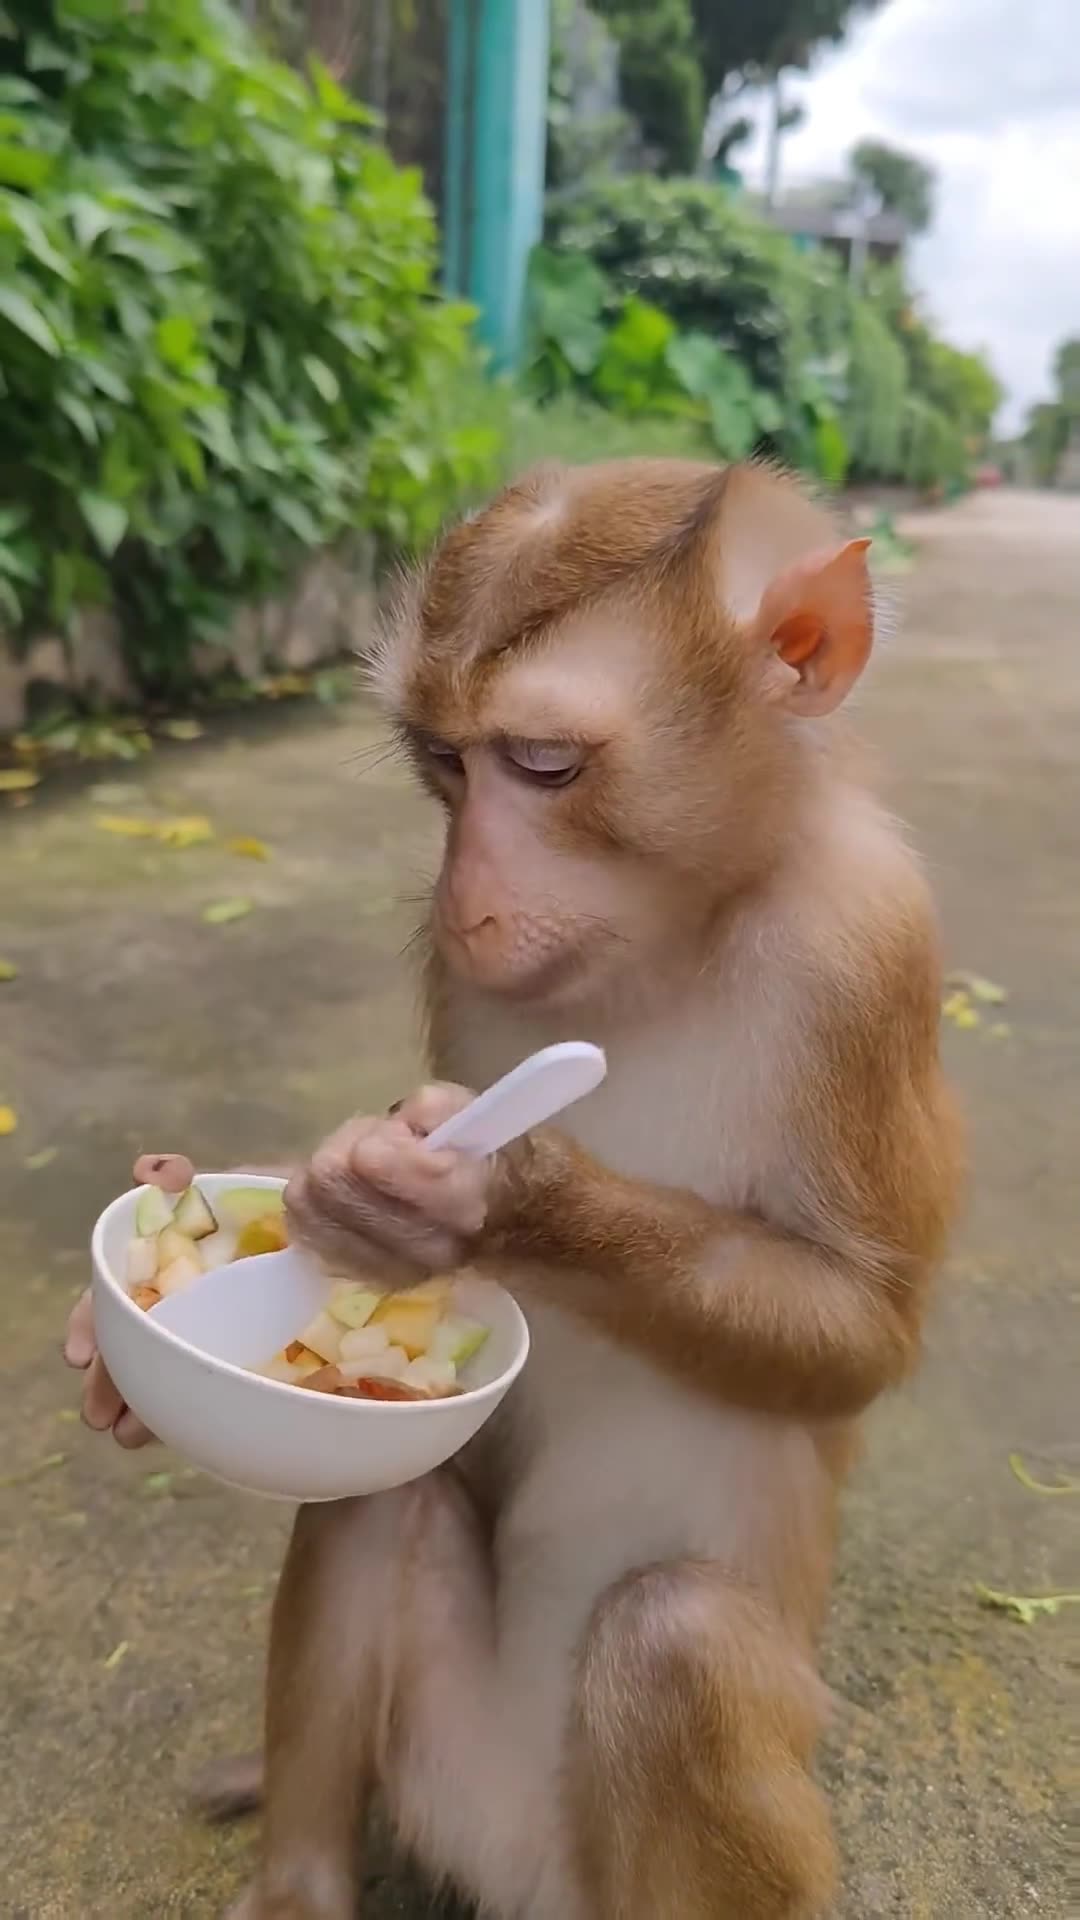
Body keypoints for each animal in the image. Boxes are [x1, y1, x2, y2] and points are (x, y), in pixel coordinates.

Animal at [66, 458, 962, 1919]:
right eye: (443, 760)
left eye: (546, 765)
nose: (468, 895)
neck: (676, 940)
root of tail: (518, 1873)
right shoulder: (459, 975)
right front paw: (119, 1353)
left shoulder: (870, 951)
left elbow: (861, 1334)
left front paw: (495, 1200)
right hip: (446, 1762)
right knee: (380, 1495)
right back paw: (302, 1874)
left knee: (674, 1637)